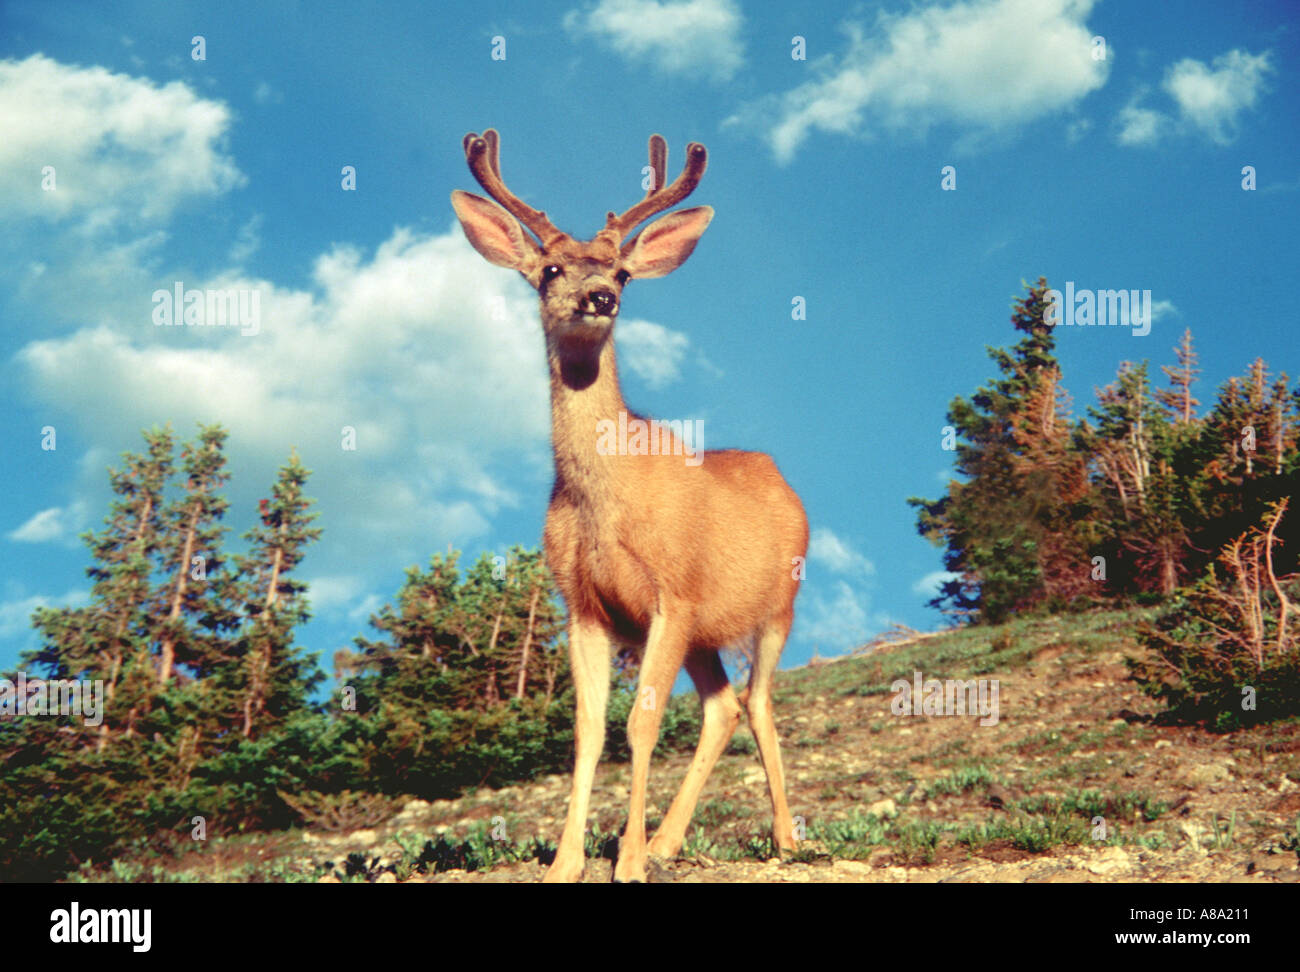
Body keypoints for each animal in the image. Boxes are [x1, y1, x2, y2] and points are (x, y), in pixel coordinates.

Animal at [451, 129, 808, 883]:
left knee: (759, 702)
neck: (604, 501)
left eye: (621, 273)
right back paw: (672, 840)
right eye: (551, 268)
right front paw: (568, 862)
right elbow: (588, 730)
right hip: (705, 634)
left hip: (777, 607)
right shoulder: (585, 605)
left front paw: (630, 862)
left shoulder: (674, 592)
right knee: (722, 707)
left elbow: (640, 723)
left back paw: (785, 838)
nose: (599, 297)